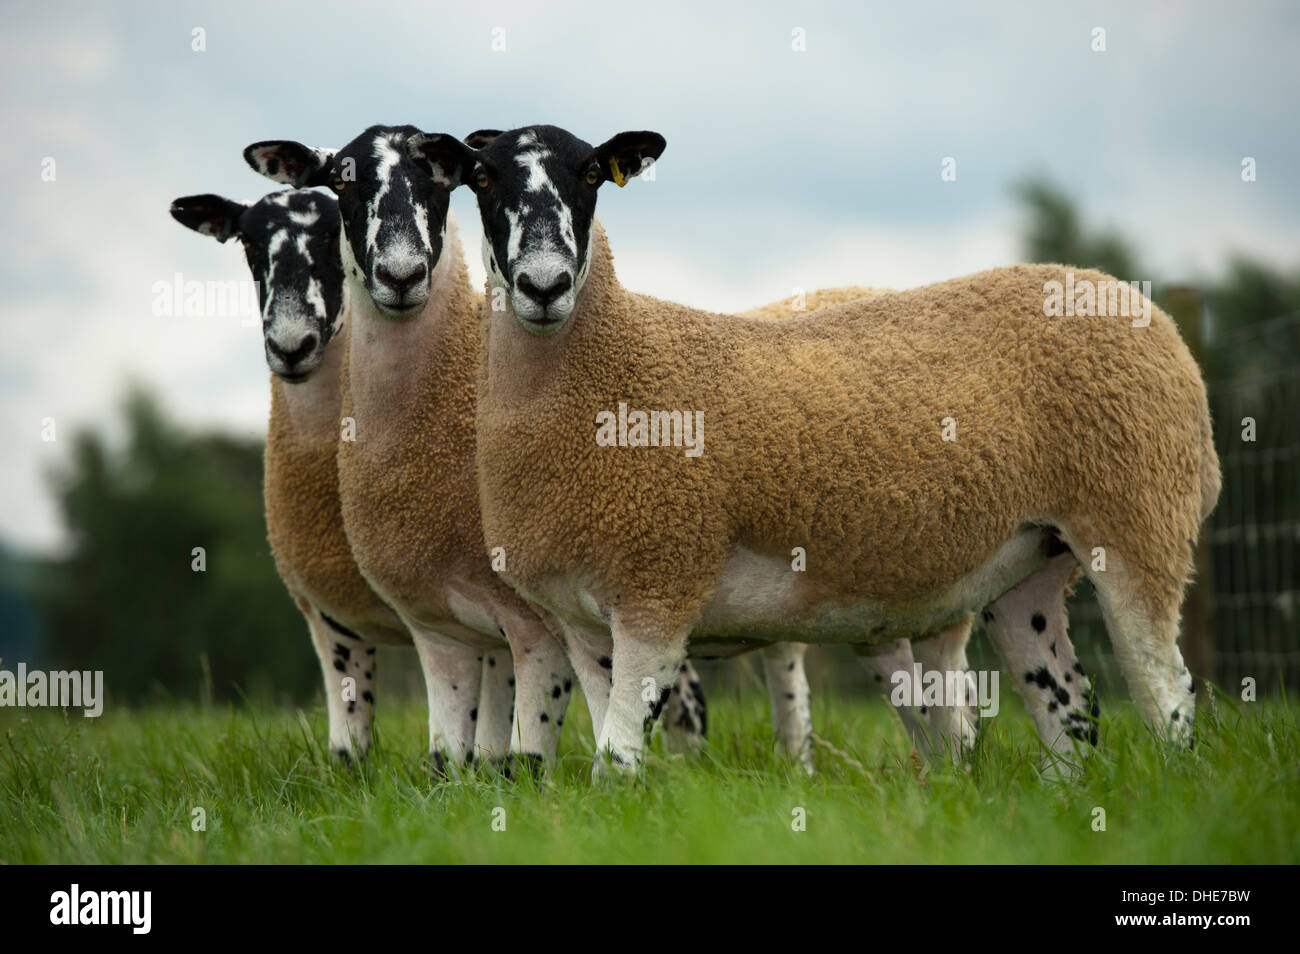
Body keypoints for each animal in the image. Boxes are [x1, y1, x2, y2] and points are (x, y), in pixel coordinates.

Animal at [410, 123, 1219, 776]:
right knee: (1069, 711)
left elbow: (616, 757)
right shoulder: (583, 618)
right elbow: (607, 750)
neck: (612, 359)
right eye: (482, 179)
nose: (543, 286)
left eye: (589, 176)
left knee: (1165, 692)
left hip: (1136, 513)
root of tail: (1148, 314)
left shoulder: (660, 581)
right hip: (1032, 564)